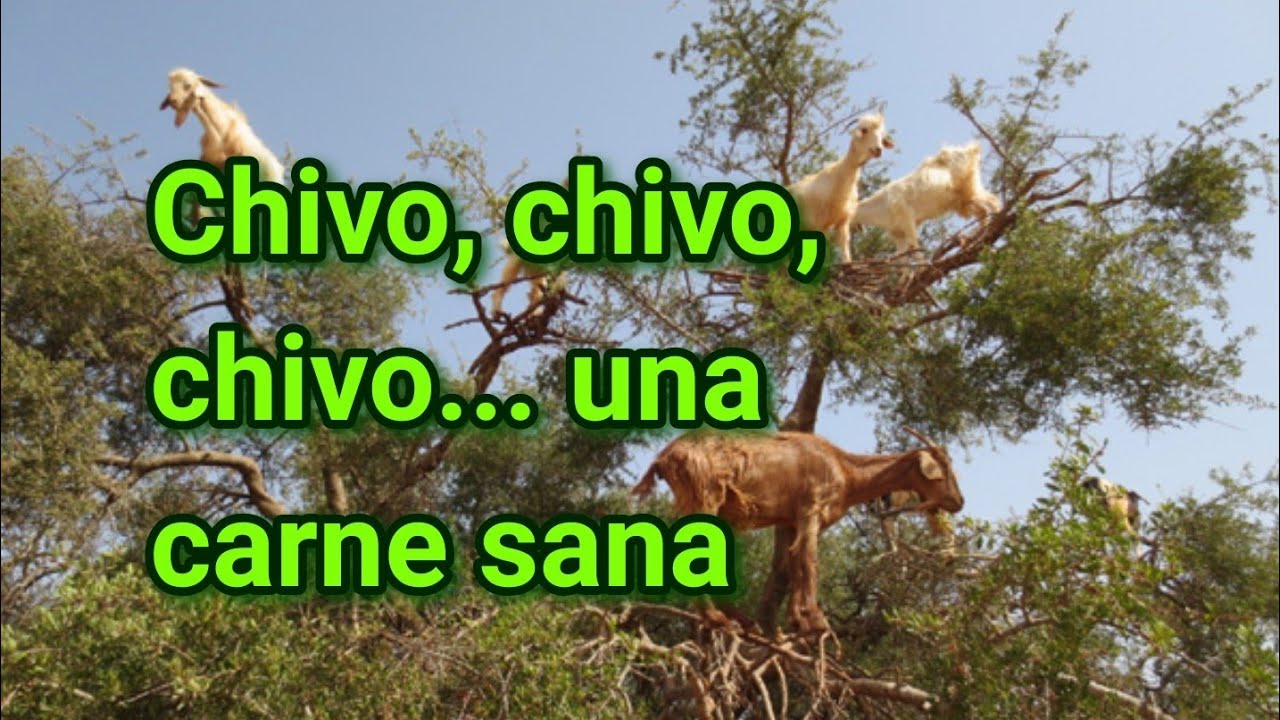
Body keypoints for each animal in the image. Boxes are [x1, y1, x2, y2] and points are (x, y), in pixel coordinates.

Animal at [632, 427, 964, 634]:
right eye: (944, 470)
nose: (958, 502)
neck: (844, 469)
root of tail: (665, 457)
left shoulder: (791, 521)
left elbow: (790, 563)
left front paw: (797, 621)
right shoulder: (810, 510)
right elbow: (809, 561)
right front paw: (817, 621)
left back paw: (740, 620)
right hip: (704, 496)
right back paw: (716, 618)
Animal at [787, 113, 895, 265]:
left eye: (882, 136)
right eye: (864, 130)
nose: (878, 150)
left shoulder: (842, 220)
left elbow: (844, 245)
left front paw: (847, 263)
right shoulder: (817, 222)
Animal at [852, 141, 1001, 256]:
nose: (858, 229)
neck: (882, 205)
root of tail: (971, 150)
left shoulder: (908, 221)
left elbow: (916, 249)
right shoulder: (898, 235)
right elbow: (902, 260)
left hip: (971, 189)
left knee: (994, 201)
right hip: (961, 202)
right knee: (982, 212)